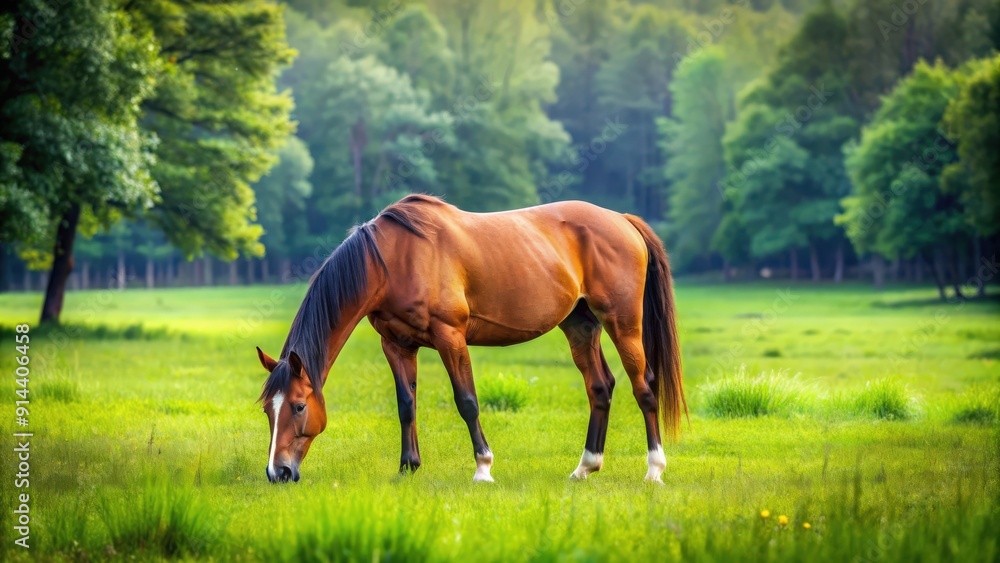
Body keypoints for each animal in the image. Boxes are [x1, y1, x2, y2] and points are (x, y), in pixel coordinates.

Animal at [256, 194, 686, 484]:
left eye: (298, 406)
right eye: (267, 412)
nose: (277, 472)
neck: (394, 260)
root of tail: (622, 219)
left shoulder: (450, 337)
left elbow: (467, 402)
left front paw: (483, 468)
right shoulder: (396, 345)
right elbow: (406, 405)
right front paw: (408, 467)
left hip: (623, 323)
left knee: (644, 388)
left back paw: (655, 470)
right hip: (580, 326)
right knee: (600, 387)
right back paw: (585, 467)